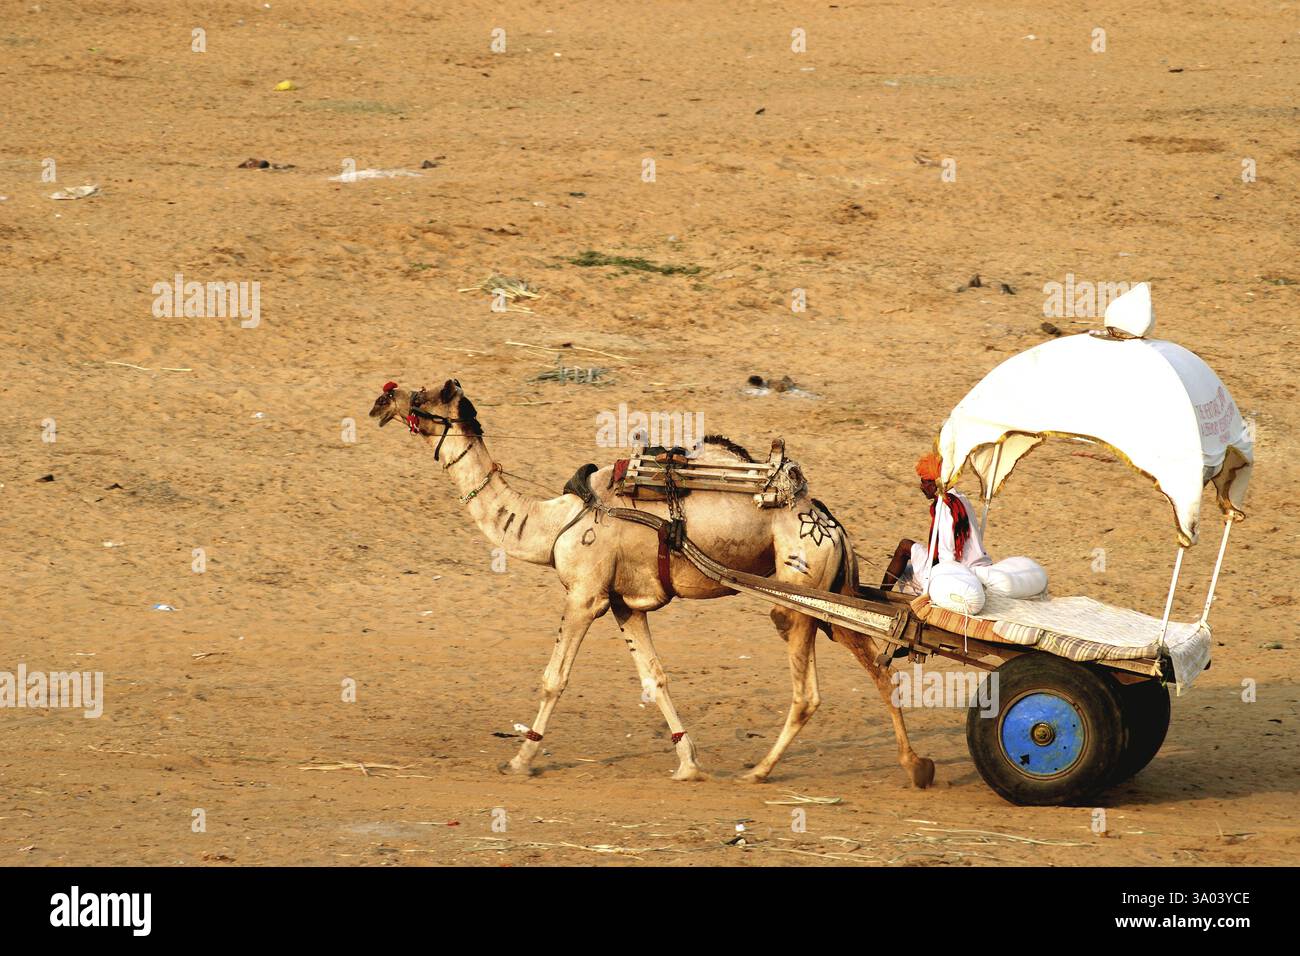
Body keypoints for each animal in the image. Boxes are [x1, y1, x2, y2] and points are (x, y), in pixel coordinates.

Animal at [369, 378, 934, 788]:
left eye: (423, 396)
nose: (381, 401)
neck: (554, 523)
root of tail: (830, 523)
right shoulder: (626, 604)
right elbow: (655, 678)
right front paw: (688, 765)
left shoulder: (585, 595)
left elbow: (554, 678)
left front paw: (520, 761)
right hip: (832, 596)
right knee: (878, 665)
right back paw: (916, 766)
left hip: (798, 591)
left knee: (808, 692)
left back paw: (760, 771)